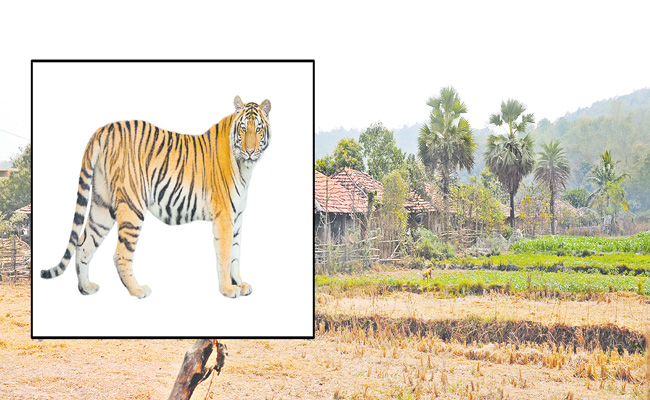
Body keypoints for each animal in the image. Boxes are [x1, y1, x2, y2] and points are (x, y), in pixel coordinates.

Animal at [40, 96, 271, 299]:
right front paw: (228, 290)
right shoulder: (224, 217)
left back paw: (86, 288)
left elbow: (235, 254)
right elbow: (225, 254)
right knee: (120, 254)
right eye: (244, 128)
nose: (250, 151)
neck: (245, 166)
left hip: (102, 205)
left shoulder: (236, 217)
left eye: (258, 129)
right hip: (132, 205)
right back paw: (138, 290)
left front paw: (239, 283)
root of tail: (104, 129)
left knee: (83, 244)